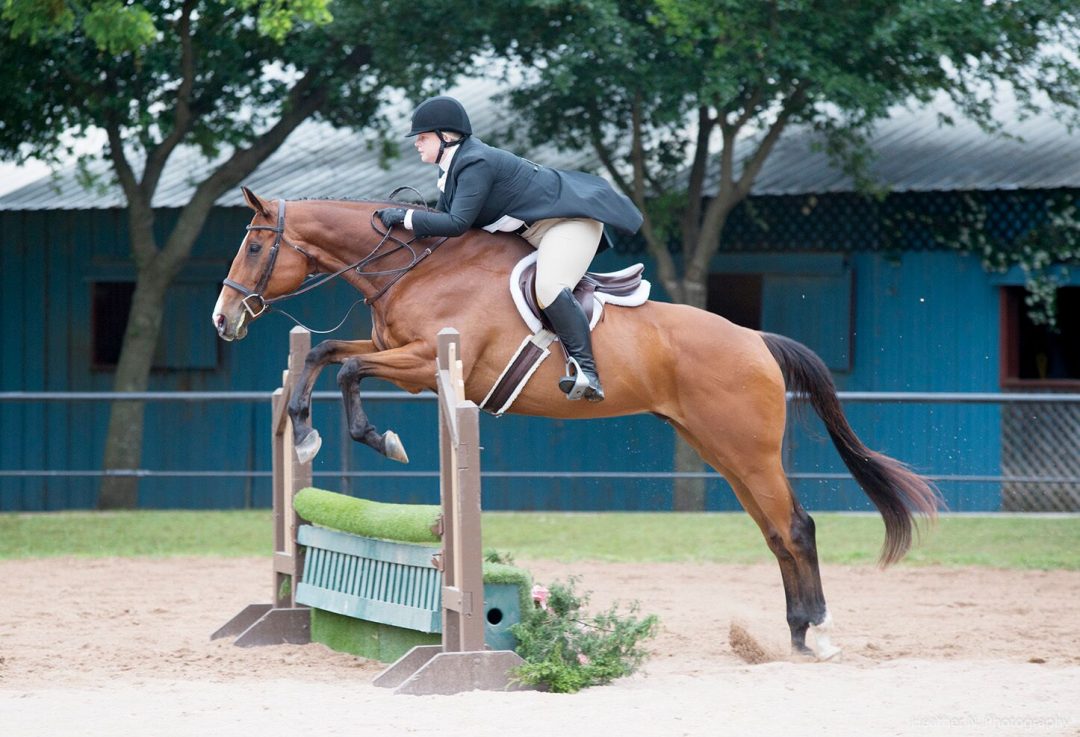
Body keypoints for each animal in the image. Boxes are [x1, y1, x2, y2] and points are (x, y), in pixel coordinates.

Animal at [212, 186, 941, 659]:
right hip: (721, 448)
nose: (224, 319)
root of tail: (757, 340)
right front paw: (306, 425)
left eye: (251, 246)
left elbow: (345, 370)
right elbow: (329, 357)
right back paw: (793, 631)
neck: (415, 267)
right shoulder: (399, 353)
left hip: (747, 448)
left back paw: (815, 633)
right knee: (774, 531)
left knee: (796, 526)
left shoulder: (425, 363)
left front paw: (371, 438)